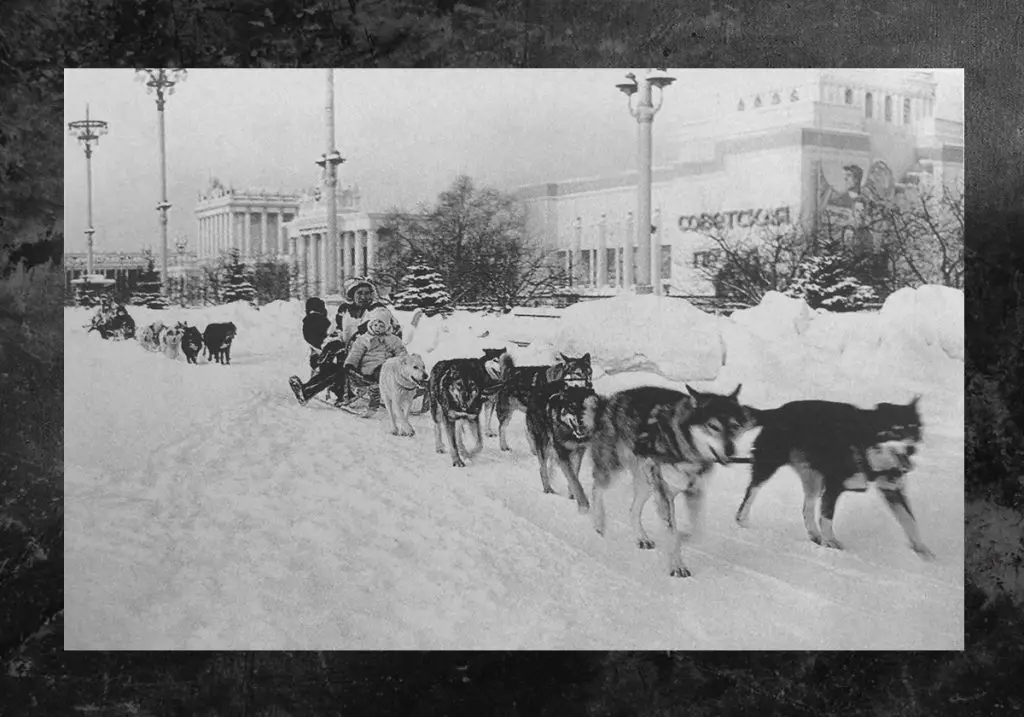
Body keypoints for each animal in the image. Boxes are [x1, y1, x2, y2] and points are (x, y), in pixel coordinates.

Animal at [524, 381, 598, 510]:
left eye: (586, 407)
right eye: (572, 407)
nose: (581, 422)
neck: (571, 433)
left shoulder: (579, 451)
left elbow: (575, 473)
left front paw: (572, 495)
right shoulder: (561, 453)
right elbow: (573, 479)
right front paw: (583, 503)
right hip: (543, 443)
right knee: (542, 469)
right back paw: (548, 489)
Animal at [585, 387, 745, 577]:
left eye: (735, 426)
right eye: (713, 426)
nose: (730, 451)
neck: (685, 447)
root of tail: (607, 403)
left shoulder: (694, 491)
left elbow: (697, 532)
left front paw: (685, 536)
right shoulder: (664, 494)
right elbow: (672, 535)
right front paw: (677, 566)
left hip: (647, 484)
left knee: (633, 509)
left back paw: (642, 537)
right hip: (613, 472)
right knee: (596, 489)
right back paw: (599, 523)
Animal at [737, 397, 937, 561]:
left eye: (915, 429)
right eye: (896, 431)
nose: (911, 448)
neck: (865, 445)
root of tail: (776, 411)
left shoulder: (892, 488)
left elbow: (909, 520)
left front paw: (921, 549)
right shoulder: (834, 486)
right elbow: (827, 517)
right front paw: (831, 542)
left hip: (814, 479)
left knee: (807, 508)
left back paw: (814, 535)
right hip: (769, 463)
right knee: (752, 490)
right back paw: (742, 518)